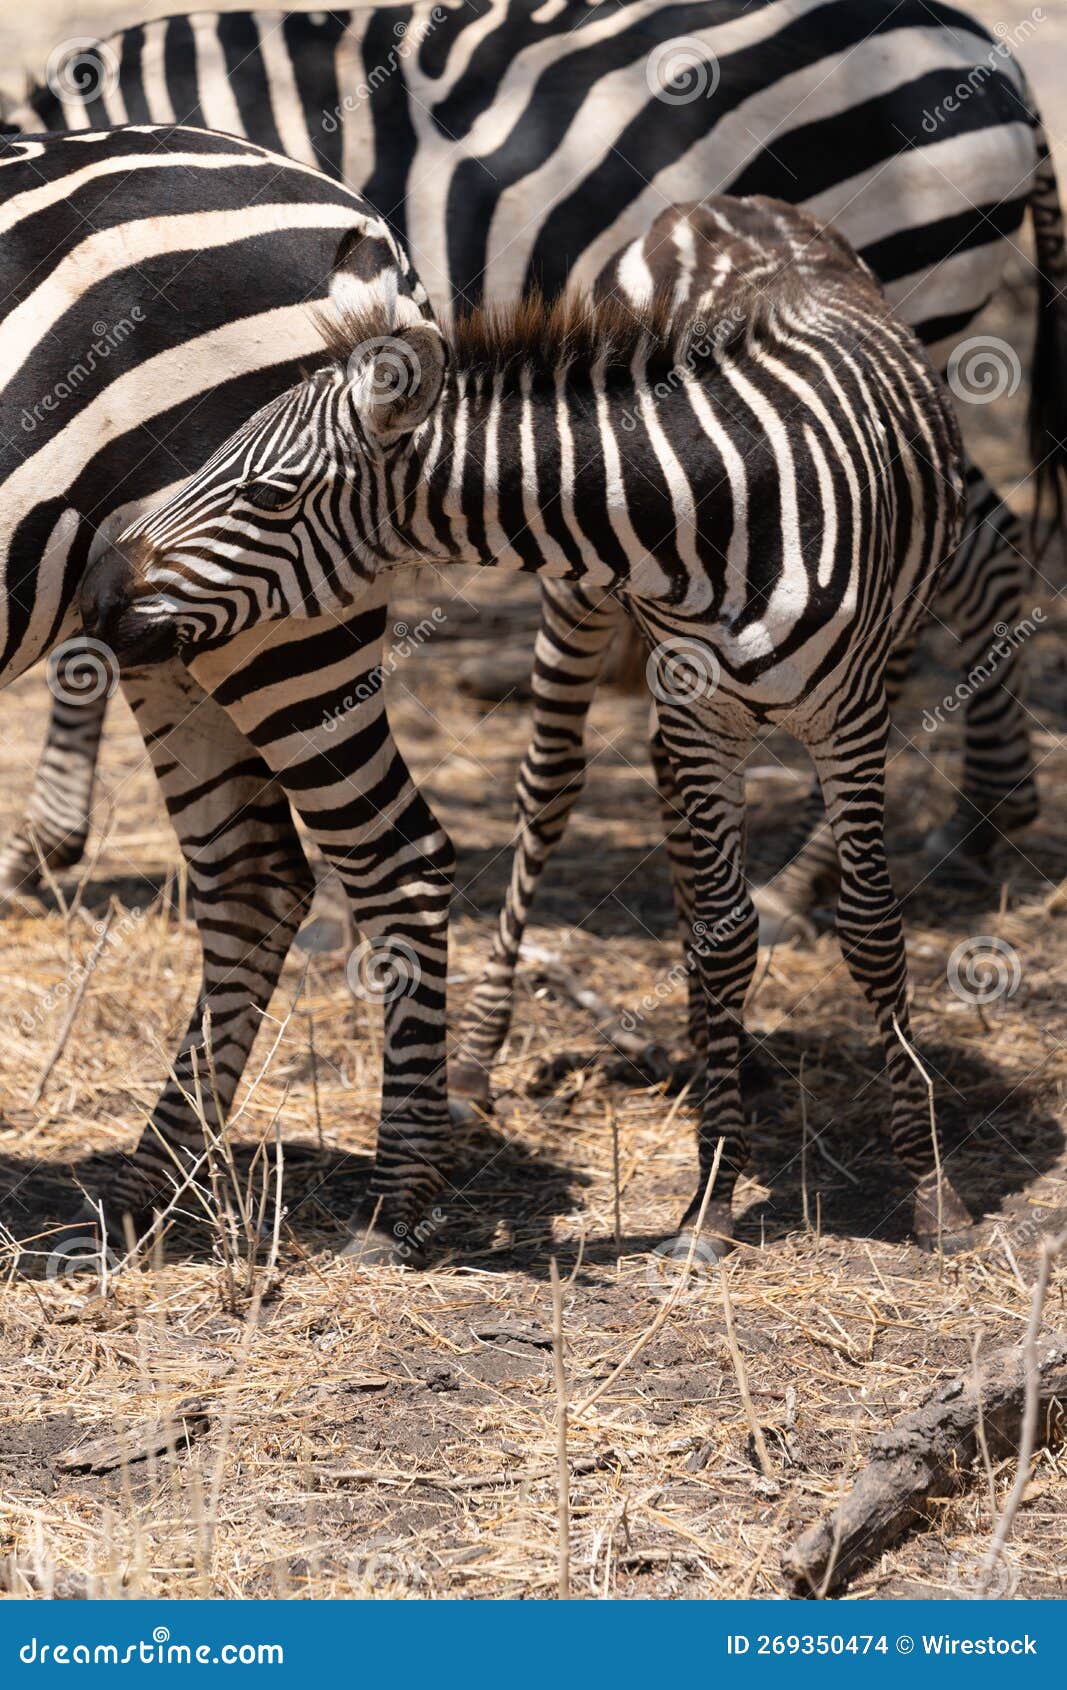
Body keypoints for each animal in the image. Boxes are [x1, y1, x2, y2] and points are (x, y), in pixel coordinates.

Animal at [0, 122, 455, 1238]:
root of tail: (356, 211)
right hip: (165, 625)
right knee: (253, 873)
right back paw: (145, 1190)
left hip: (284, 619)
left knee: (396, 859)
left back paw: (399, 1198)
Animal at [3, 0, 1062, 923]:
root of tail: (989, 51)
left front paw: (44, 839)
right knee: (983, 557)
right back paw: (976, 821)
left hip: (890, 319)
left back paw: (818, 874)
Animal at [81, 195, 975, 1252]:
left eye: (266, 493)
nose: (99, 594)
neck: (725, 516)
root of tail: (719, 203)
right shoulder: (701, 714)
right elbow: (725, 935)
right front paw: (713, 1193)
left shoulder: (850, 722)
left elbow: (872, 931)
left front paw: (930, 1188)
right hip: (588, 608)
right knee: (556, 791)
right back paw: (512, 1057)